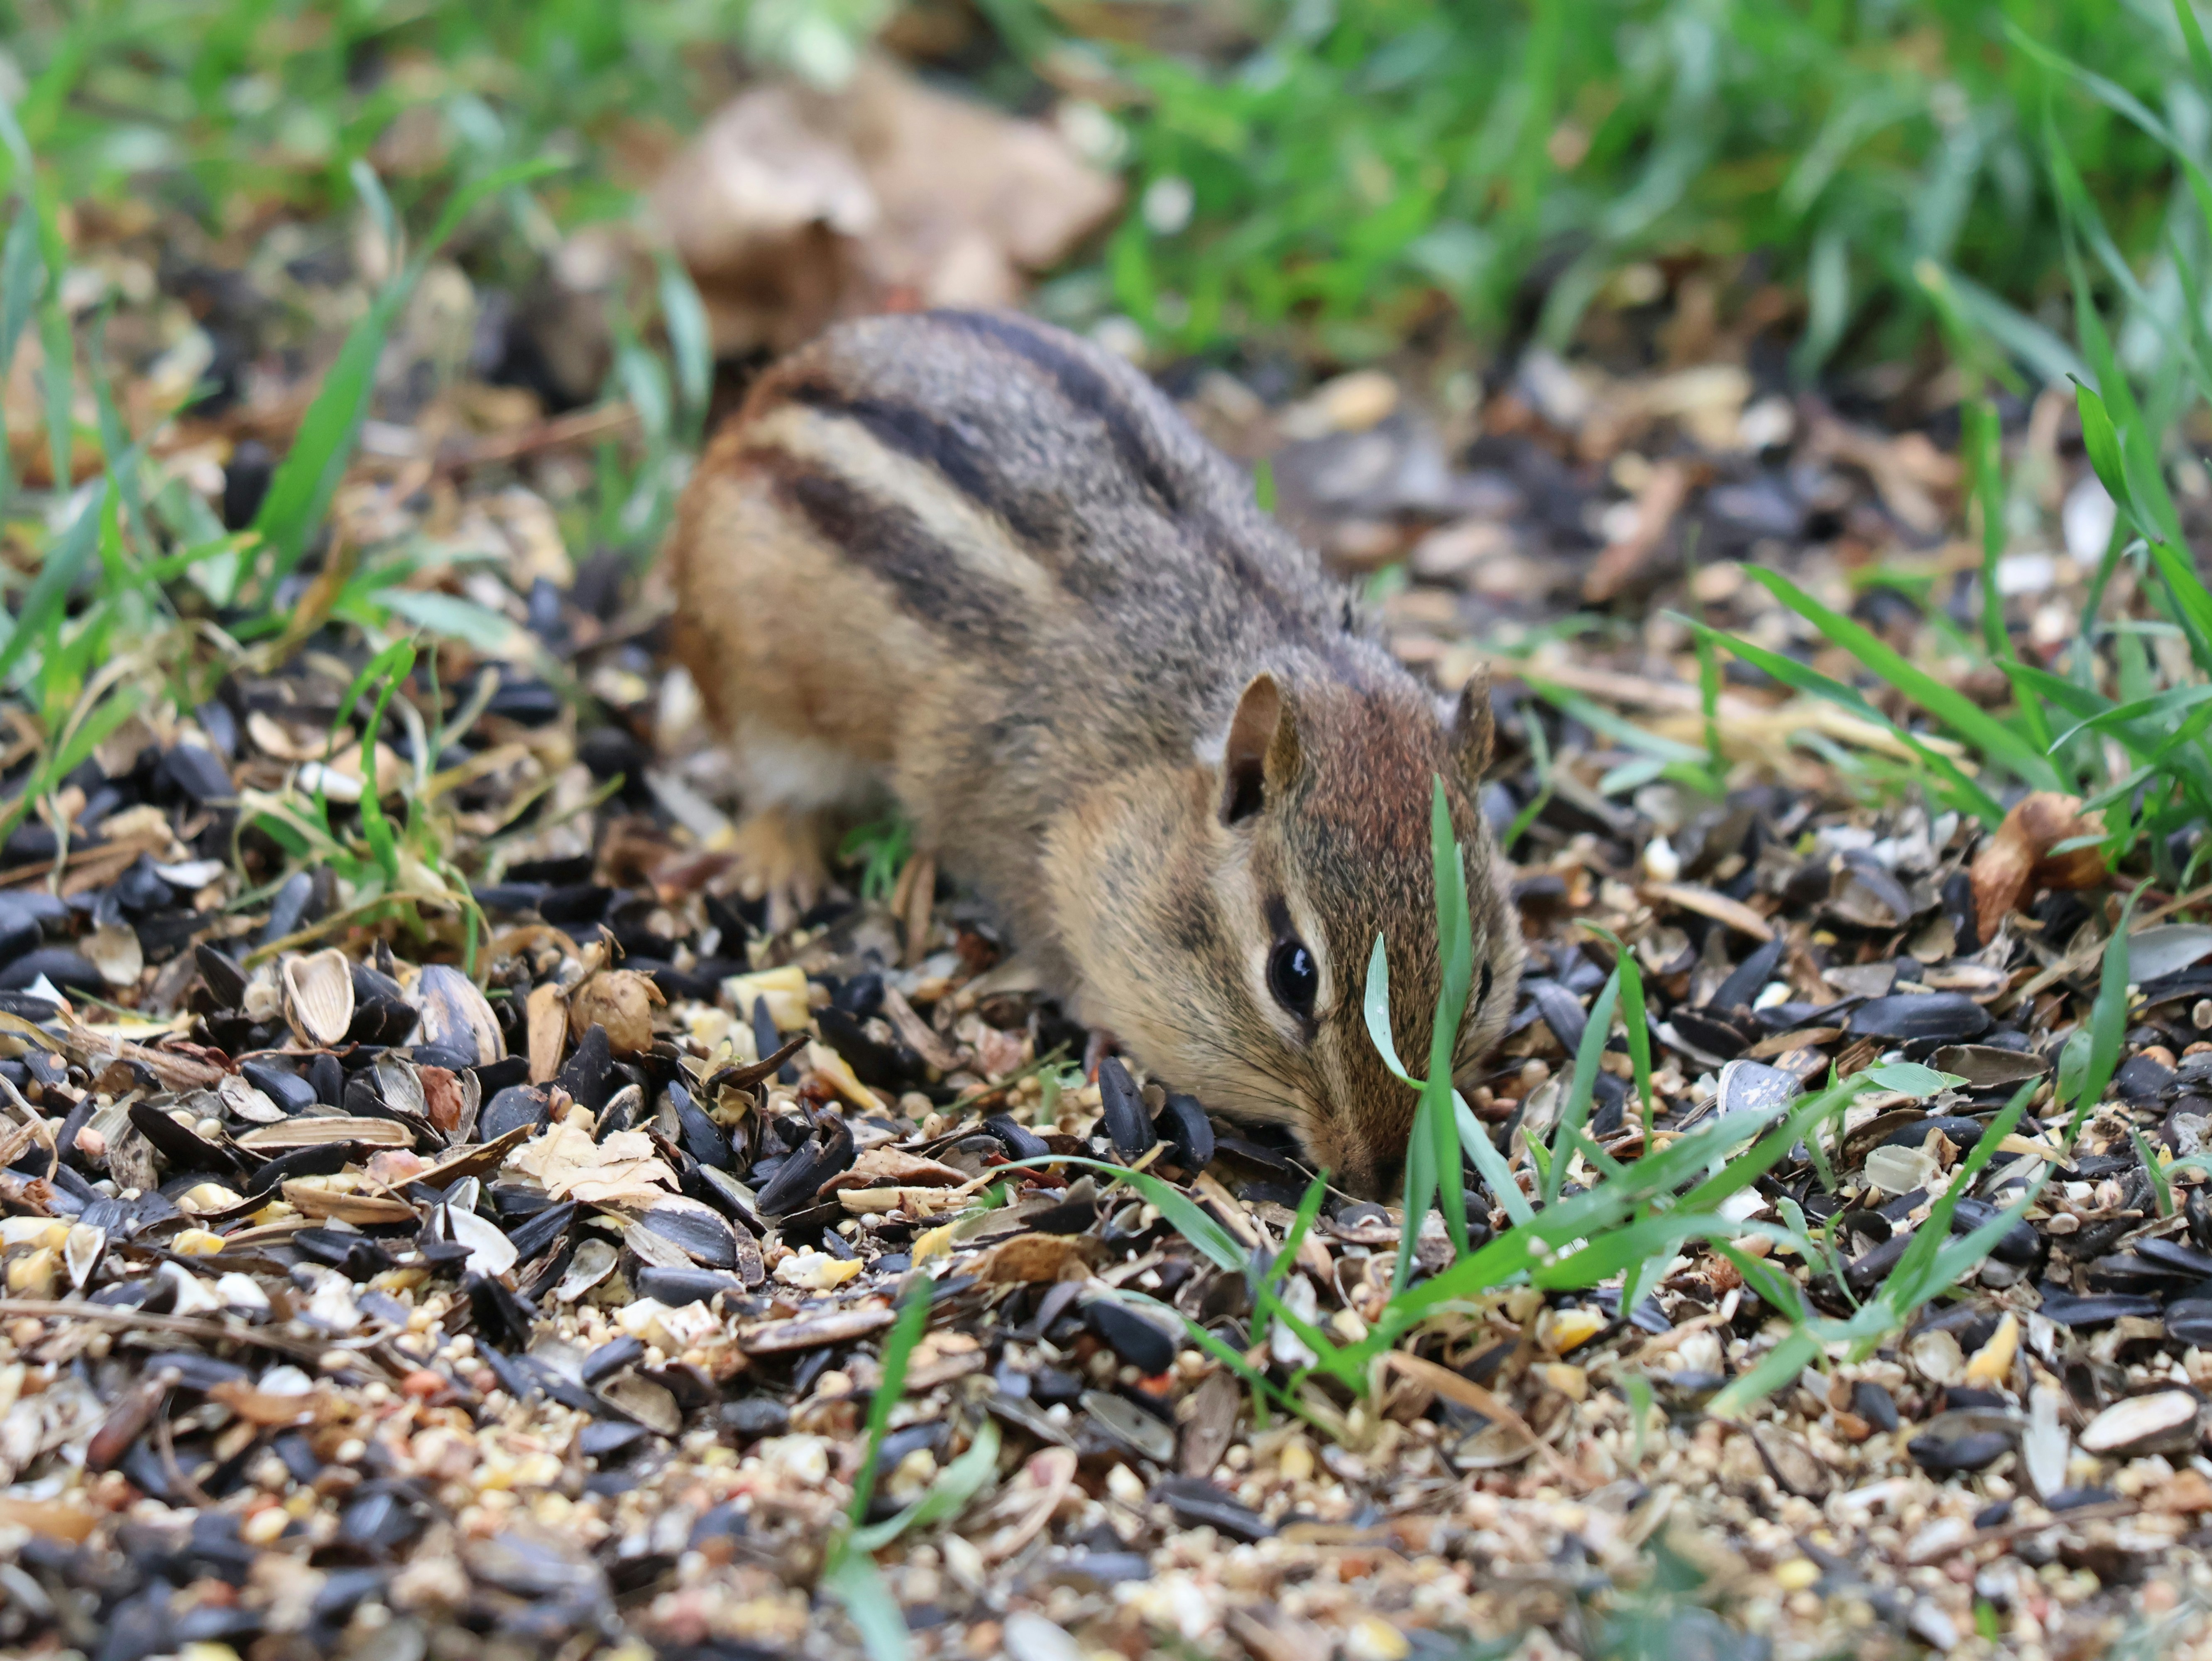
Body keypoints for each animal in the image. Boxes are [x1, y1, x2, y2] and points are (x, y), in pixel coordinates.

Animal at [667, 309, 1525, 1196]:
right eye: (1293, 975)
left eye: (1485, 978)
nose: (1381, 1176)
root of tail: (768, 391)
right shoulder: (997, 800)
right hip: (751, 686)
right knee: (776, 789)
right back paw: (779, 864)